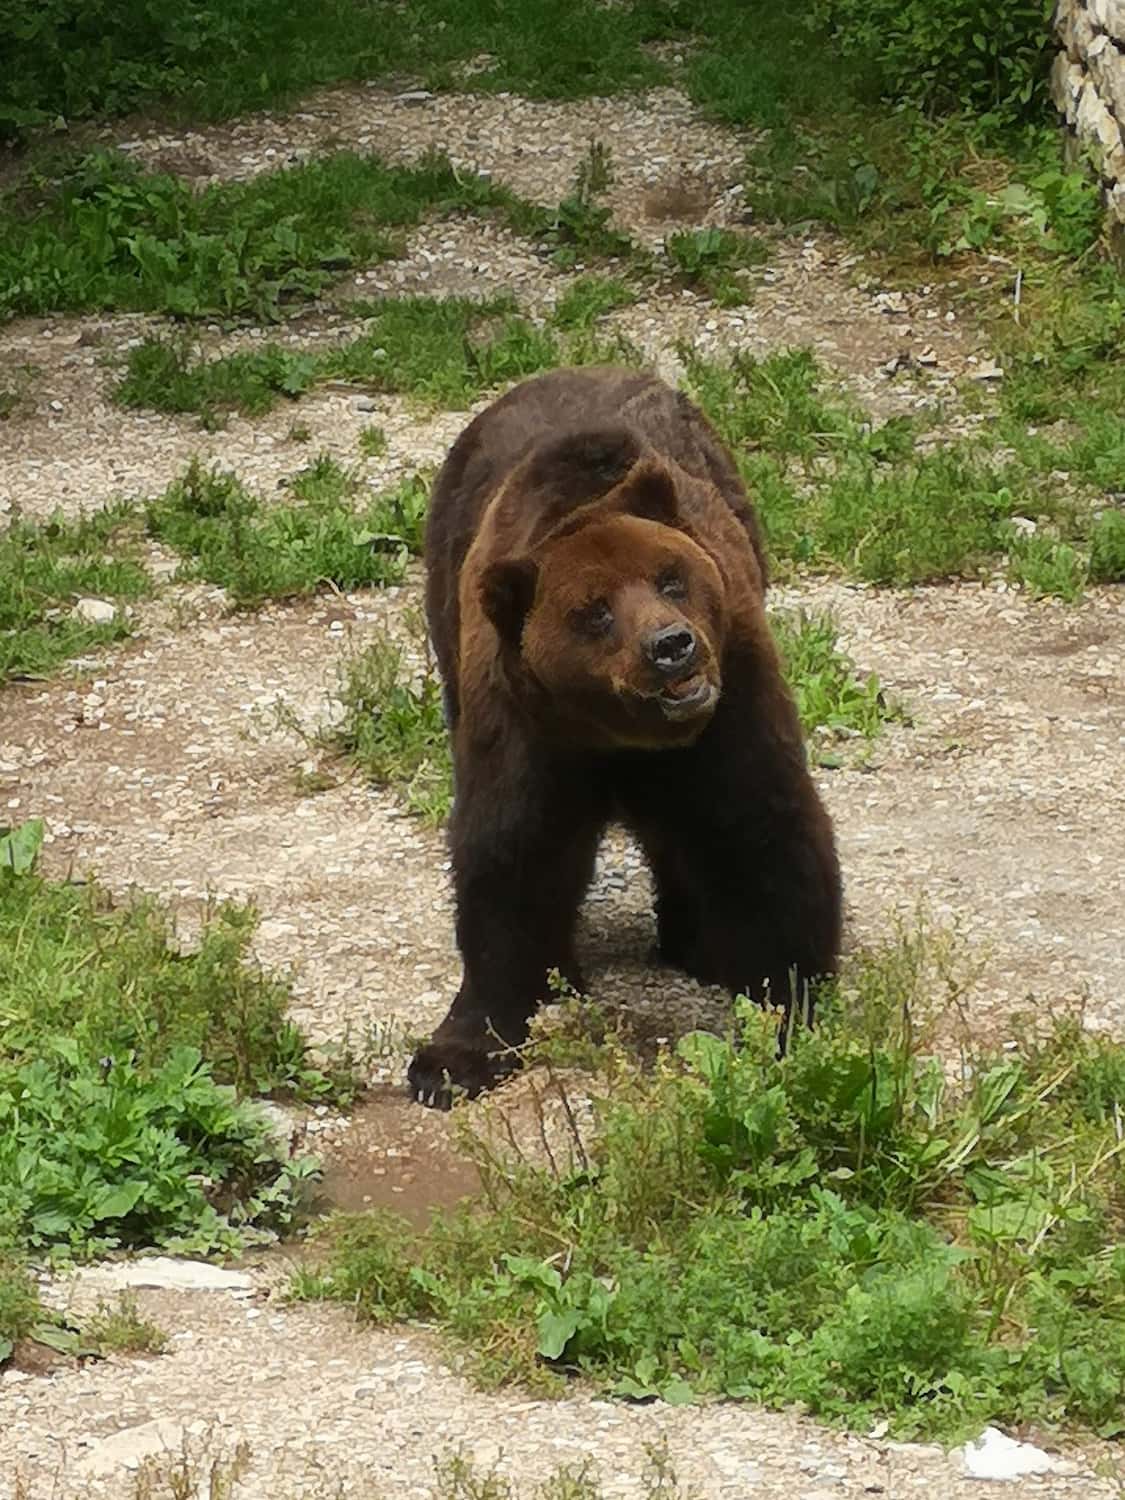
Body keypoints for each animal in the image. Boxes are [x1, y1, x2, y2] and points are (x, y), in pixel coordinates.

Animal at [408, 365, 841, 1107]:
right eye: (596, 612)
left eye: (671, 577)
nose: (671, 646)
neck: (615, 732)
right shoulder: (524, 724)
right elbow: (509, 857)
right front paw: (452, 1057)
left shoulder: (730, 705)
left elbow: (764, 833)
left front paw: (788, 1013)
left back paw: (697, 942)